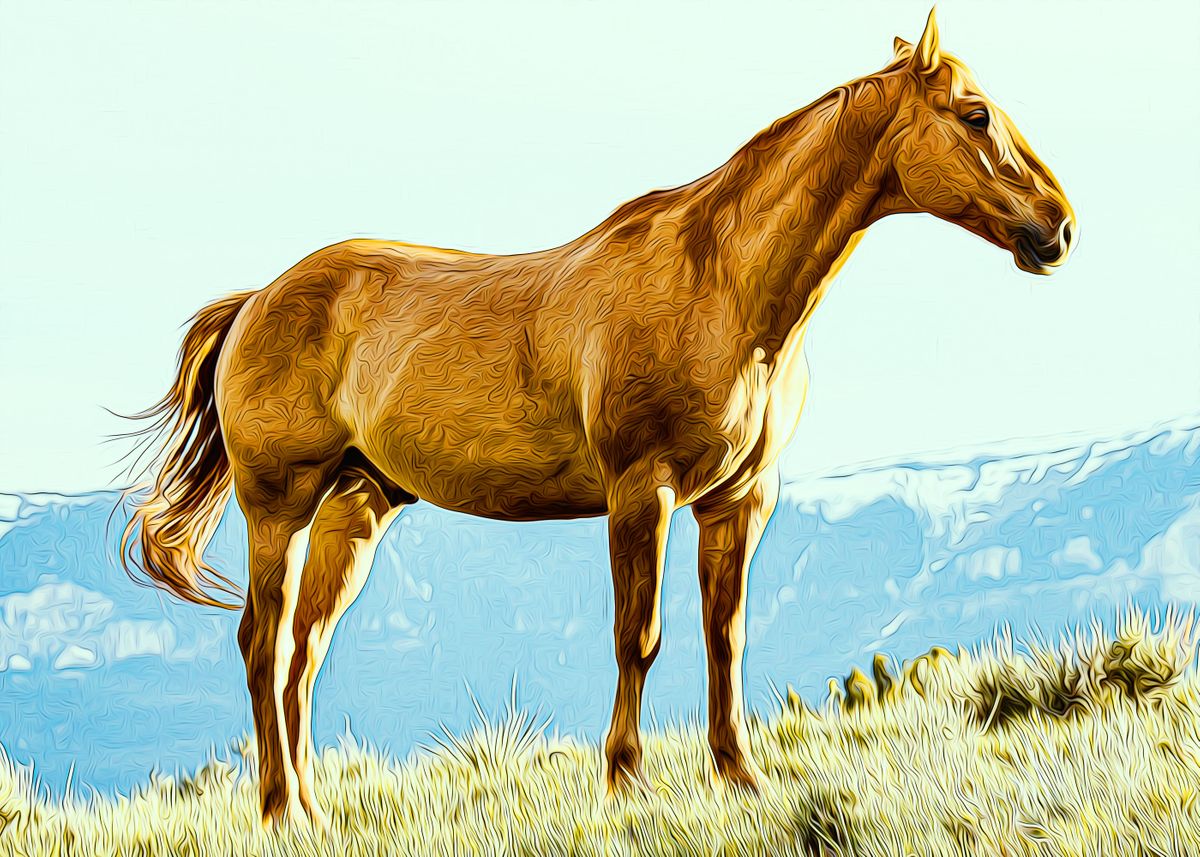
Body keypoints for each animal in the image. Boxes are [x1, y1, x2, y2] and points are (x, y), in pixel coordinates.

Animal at [123, 9, 1074, 827]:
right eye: (976, 114)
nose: (1058, 228)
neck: (721, 286)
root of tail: (257, 300)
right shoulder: (639, 494)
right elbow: (638, 637)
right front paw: (625, 781)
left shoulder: (740, 501)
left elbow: (726, 638)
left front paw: (741, 777)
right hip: (279, 503)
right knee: (263, 642)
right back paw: (279, 809)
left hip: (357, 507)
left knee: (303, 654)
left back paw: (313, 809)